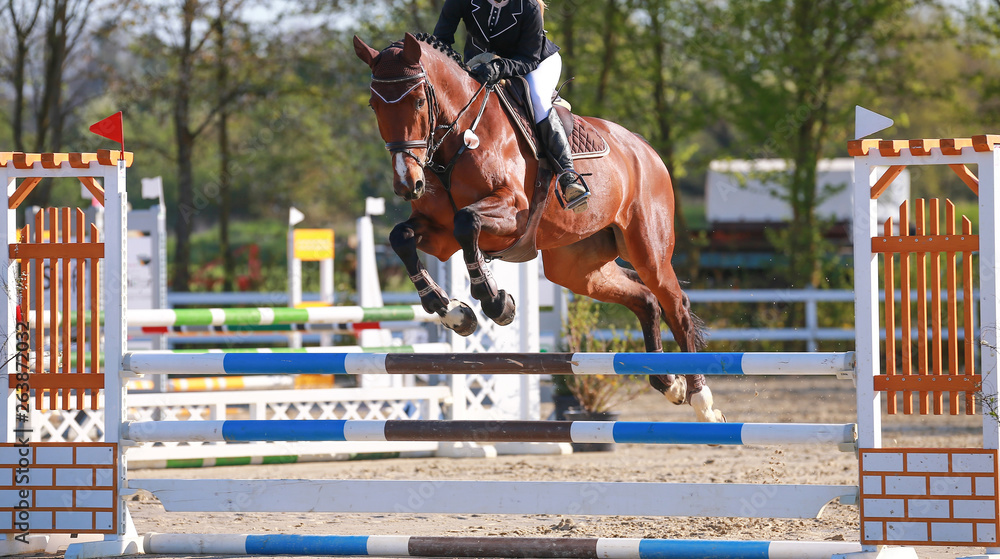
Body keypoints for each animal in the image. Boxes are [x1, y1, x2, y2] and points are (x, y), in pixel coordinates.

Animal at [354, 32, 723, 423]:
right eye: (374, 106)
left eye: (419, 100)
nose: (407, 185)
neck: (460, 140)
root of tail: (644, 148)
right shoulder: (437, 233)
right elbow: (401, 237)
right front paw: (452, 311)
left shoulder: (513, 213)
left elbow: (466, 221)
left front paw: (496, 302)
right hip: (577, 268)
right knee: (646, 300)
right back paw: (669, 383)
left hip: (648, 250)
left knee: (676, 305)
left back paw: (702, 401)